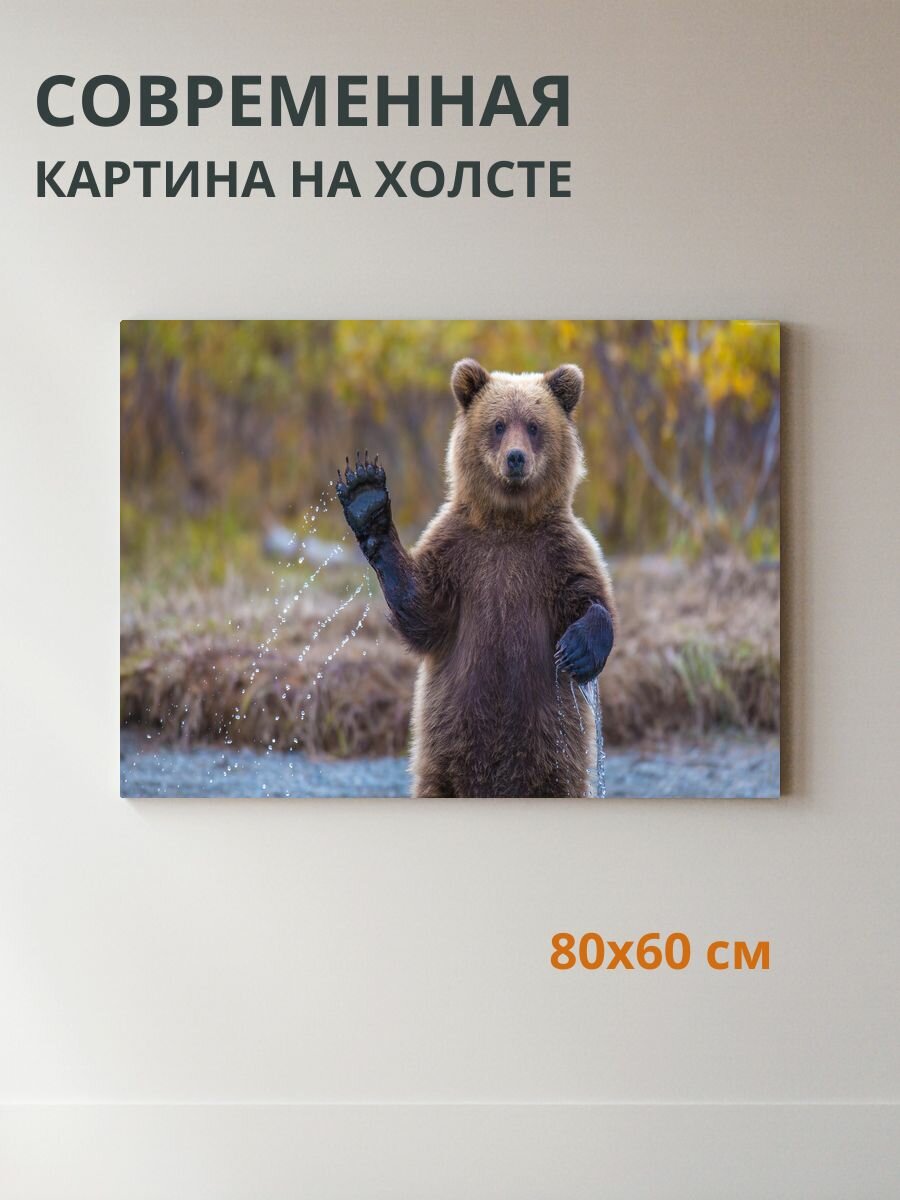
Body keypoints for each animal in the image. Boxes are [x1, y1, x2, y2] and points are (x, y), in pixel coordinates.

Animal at [335, 358, 615, 797]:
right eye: (498, 424)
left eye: (533, 425)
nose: (515, 458)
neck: (509, 521)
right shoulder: (460, 552)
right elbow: (423, 610)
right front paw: (366, 497)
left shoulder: (559, 551)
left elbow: (590, 596)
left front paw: (577, 649)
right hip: (444, 752)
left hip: (555, 757)